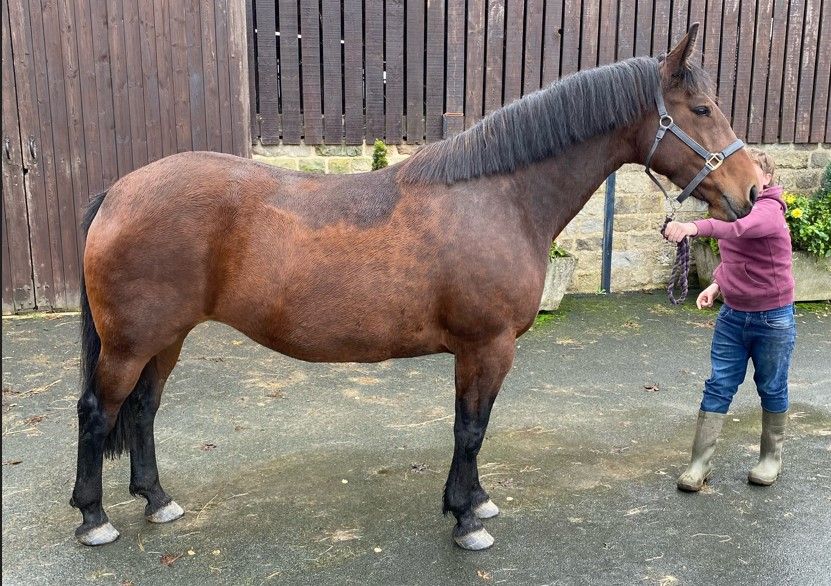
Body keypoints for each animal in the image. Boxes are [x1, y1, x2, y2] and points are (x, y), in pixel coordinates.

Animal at [71, 24, 757, 550]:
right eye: (701, 109)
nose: (753, 190)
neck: (501, 197)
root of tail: (119, 192)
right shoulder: (486, 346)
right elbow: (470, 429)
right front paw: (466, 519)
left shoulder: (477, 351)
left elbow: (470, 427)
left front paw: (474, 501)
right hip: (131, 344)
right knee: (98, 411)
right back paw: (94, 517)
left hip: (166, 339)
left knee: (143, 409)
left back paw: (156, 499)